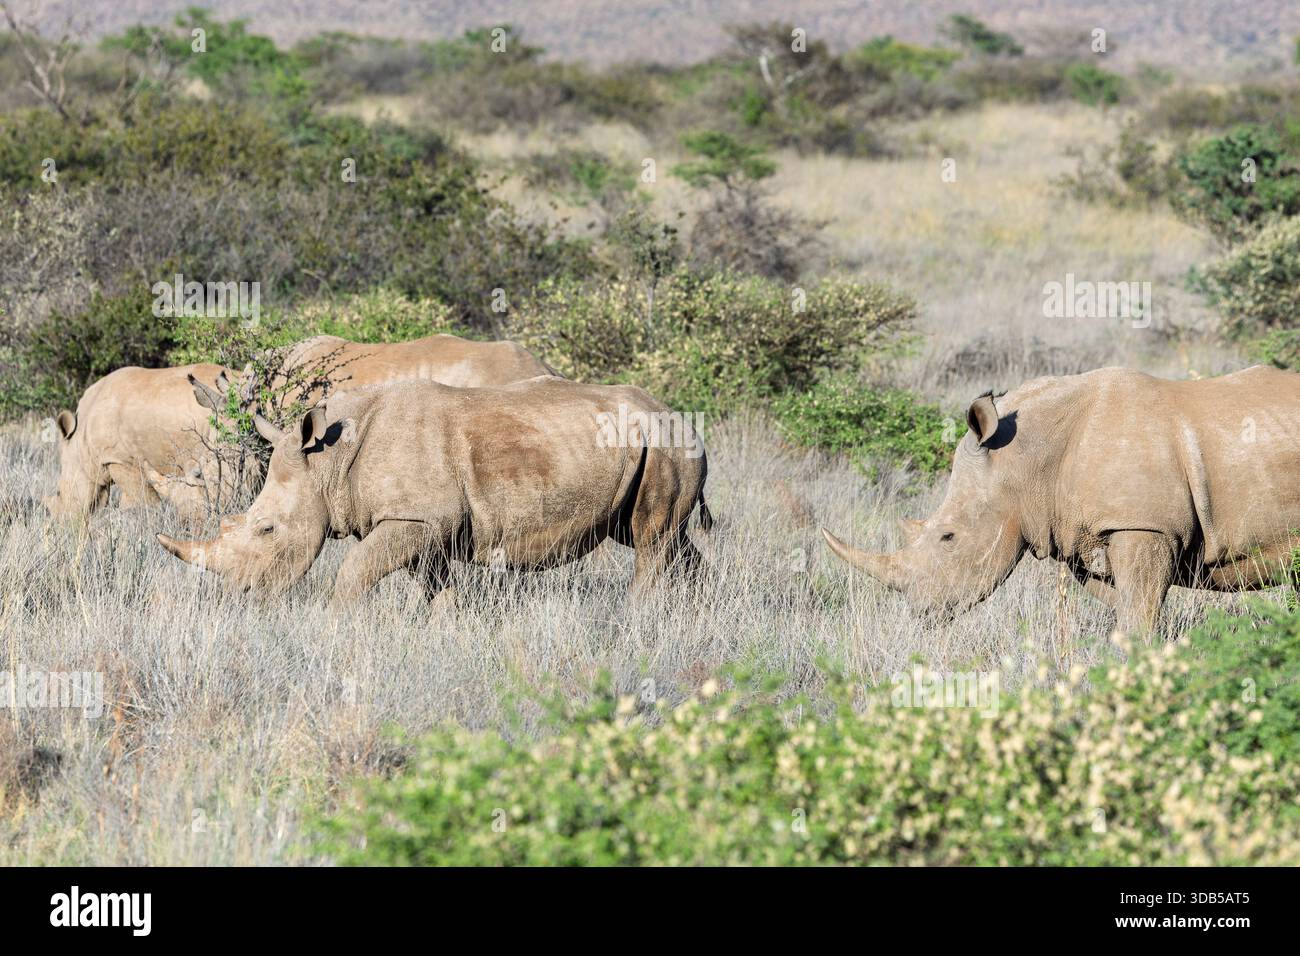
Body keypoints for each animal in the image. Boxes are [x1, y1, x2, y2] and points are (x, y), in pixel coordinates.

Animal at [156, 377, 710, 605]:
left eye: (268, 529)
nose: (242, 596)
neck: (327, 463)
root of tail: (675, 413)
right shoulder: (428, 525)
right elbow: (437, 587)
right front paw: (448, 626)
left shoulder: (416, 518)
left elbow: (354, 572)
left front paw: (340, 625)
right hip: (651, 443)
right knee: (661, 539)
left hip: (664, 444)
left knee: (651, 540)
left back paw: (635, 617)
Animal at [822, 365, 1300, 635]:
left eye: (949, 537)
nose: (921, 611)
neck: (1026, 461)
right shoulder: (1083, 536)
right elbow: (1128, 616)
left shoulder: (1144, 524)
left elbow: (1138, 619)